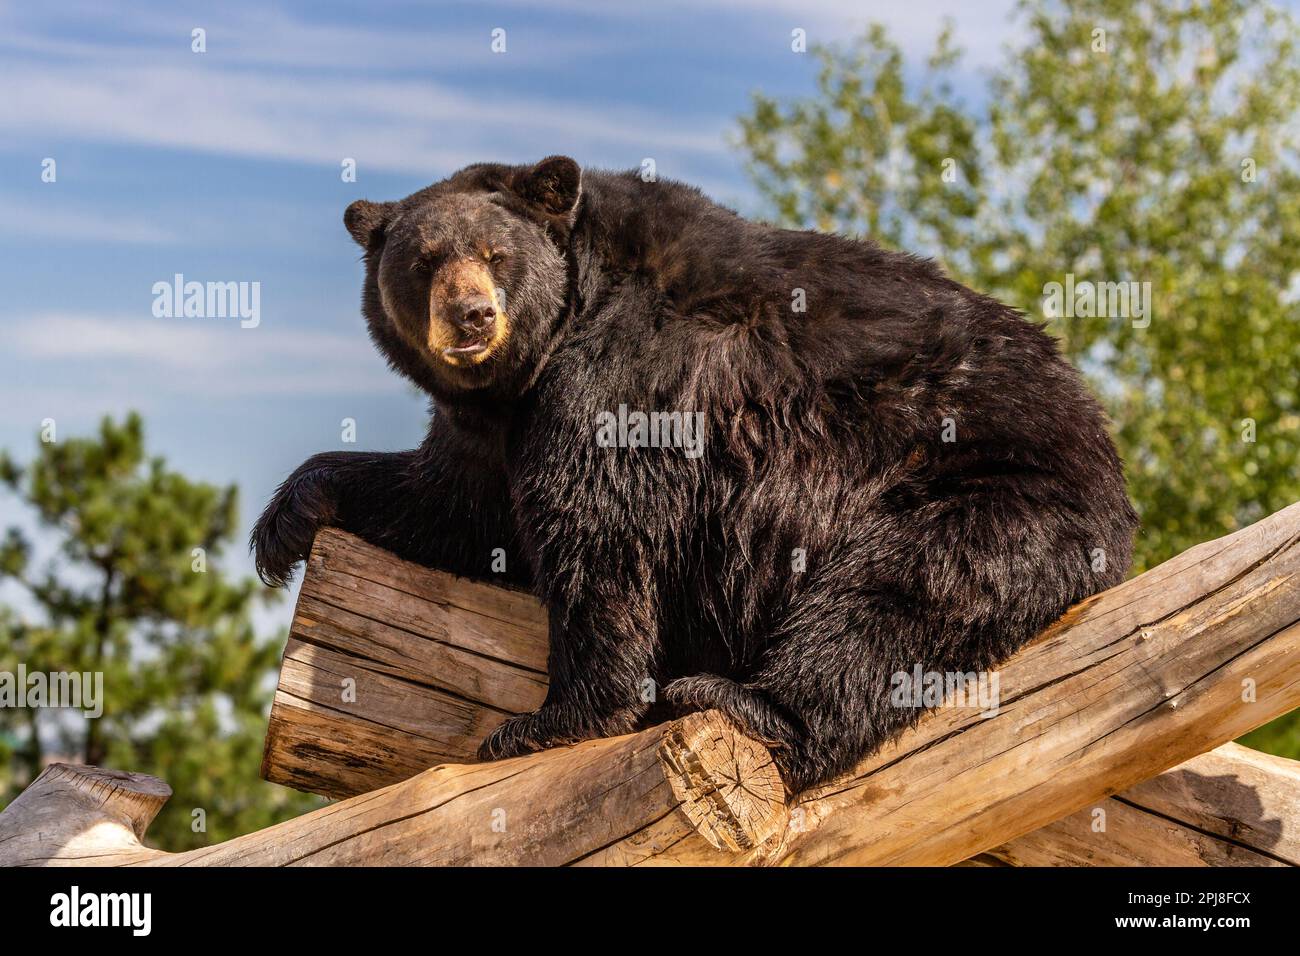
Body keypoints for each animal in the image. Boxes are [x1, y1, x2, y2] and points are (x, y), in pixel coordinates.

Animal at [253, 155, 1138, 793]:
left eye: (496, 255)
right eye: (424, 260)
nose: (472, 317)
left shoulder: (620, 380)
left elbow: (598, 535)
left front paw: (553, 719)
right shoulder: (492, 423)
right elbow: (456, 505)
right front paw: (291, 518)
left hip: (992, 487)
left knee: (905, 592)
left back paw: (747, 703)